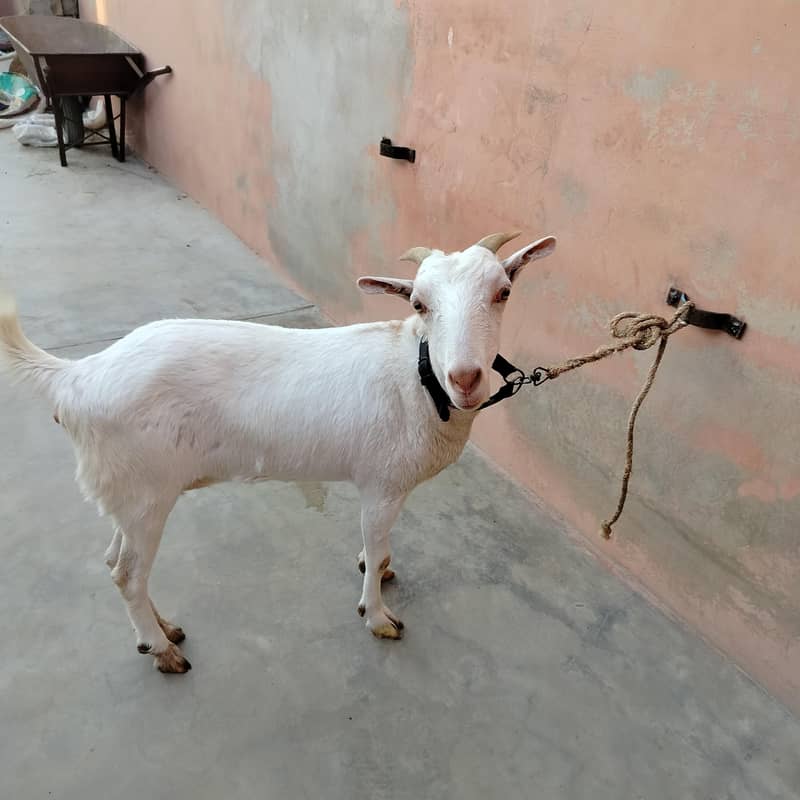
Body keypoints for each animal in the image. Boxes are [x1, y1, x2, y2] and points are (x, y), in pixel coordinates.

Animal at [0, 231, 556, 673]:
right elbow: (376, 546)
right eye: (418, 304)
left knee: (114, 559)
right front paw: (377, 616)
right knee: (128, 575)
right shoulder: (381, 482)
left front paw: (378, 570)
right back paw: (162, 650)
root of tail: (77, 377)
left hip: (131, 489)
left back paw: (162, 631)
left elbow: (377, 549)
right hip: (145, 493)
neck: (415, 378)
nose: (465, 378)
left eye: (504, 292)